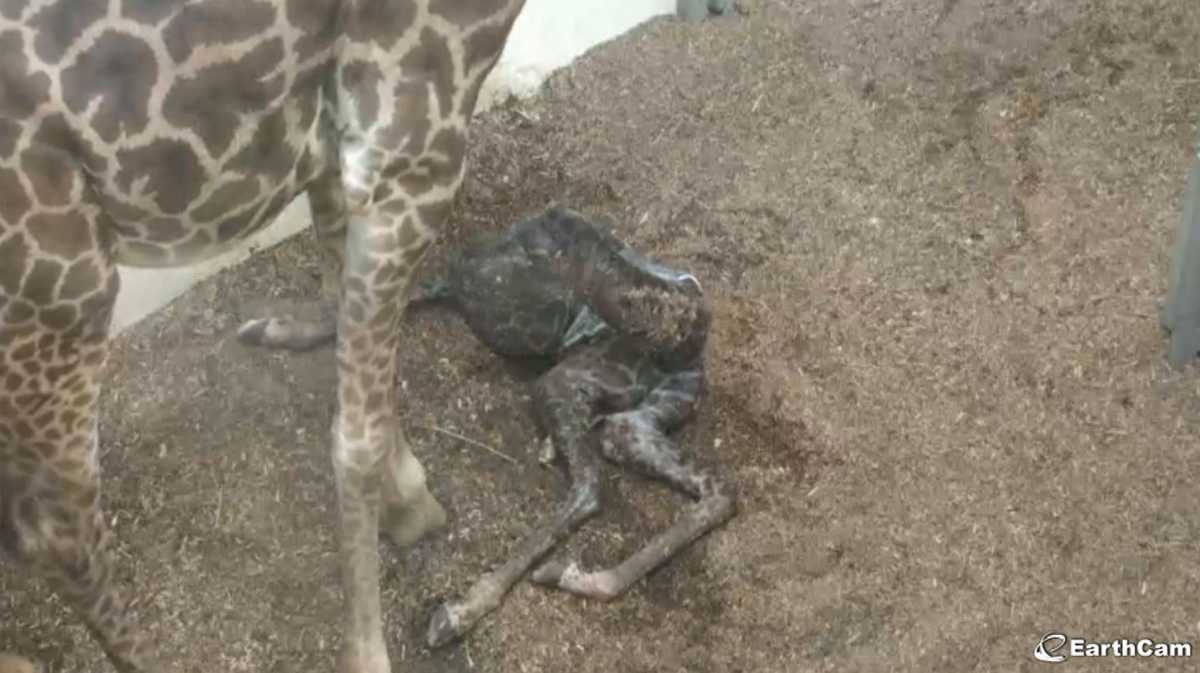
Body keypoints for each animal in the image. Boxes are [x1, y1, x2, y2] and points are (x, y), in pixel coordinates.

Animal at [0, 1, 526, 672]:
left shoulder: (339, 142)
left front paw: (409, 503)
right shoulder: (414, 134)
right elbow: (354, 438)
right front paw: (369, 650)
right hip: (62, 288)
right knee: (56, 533)